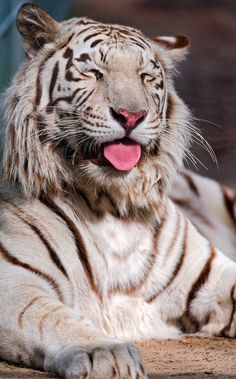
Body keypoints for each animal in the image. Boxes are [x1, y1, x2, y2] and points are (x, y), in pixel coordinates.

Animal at [0, 3, 235, 379]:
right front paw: (105, 354)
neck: (110, 203)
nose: (131, 116)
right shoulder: (13, 281)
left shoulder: (209, 274)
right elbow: (50, 317)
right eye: (93, 72)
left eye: (146, 77)